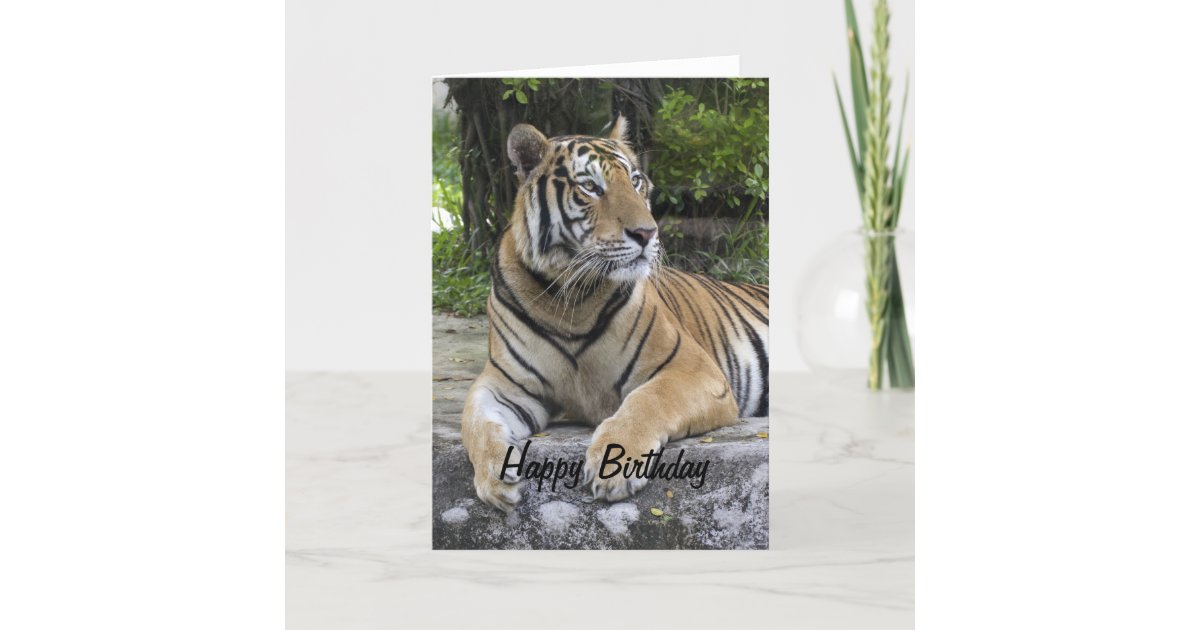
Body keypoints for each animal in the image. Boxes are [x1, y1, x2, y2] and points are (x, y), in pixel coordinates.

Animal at [461, 115, 768, 512]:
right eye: (591, 187)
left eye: (635, 181)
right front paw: (495, 478)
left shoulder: (693, 369)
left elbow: (648, 400)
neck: (569, 299)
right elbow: (476, 422)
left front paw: (614, 465)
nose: (647, 232)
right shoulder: (504, 384)